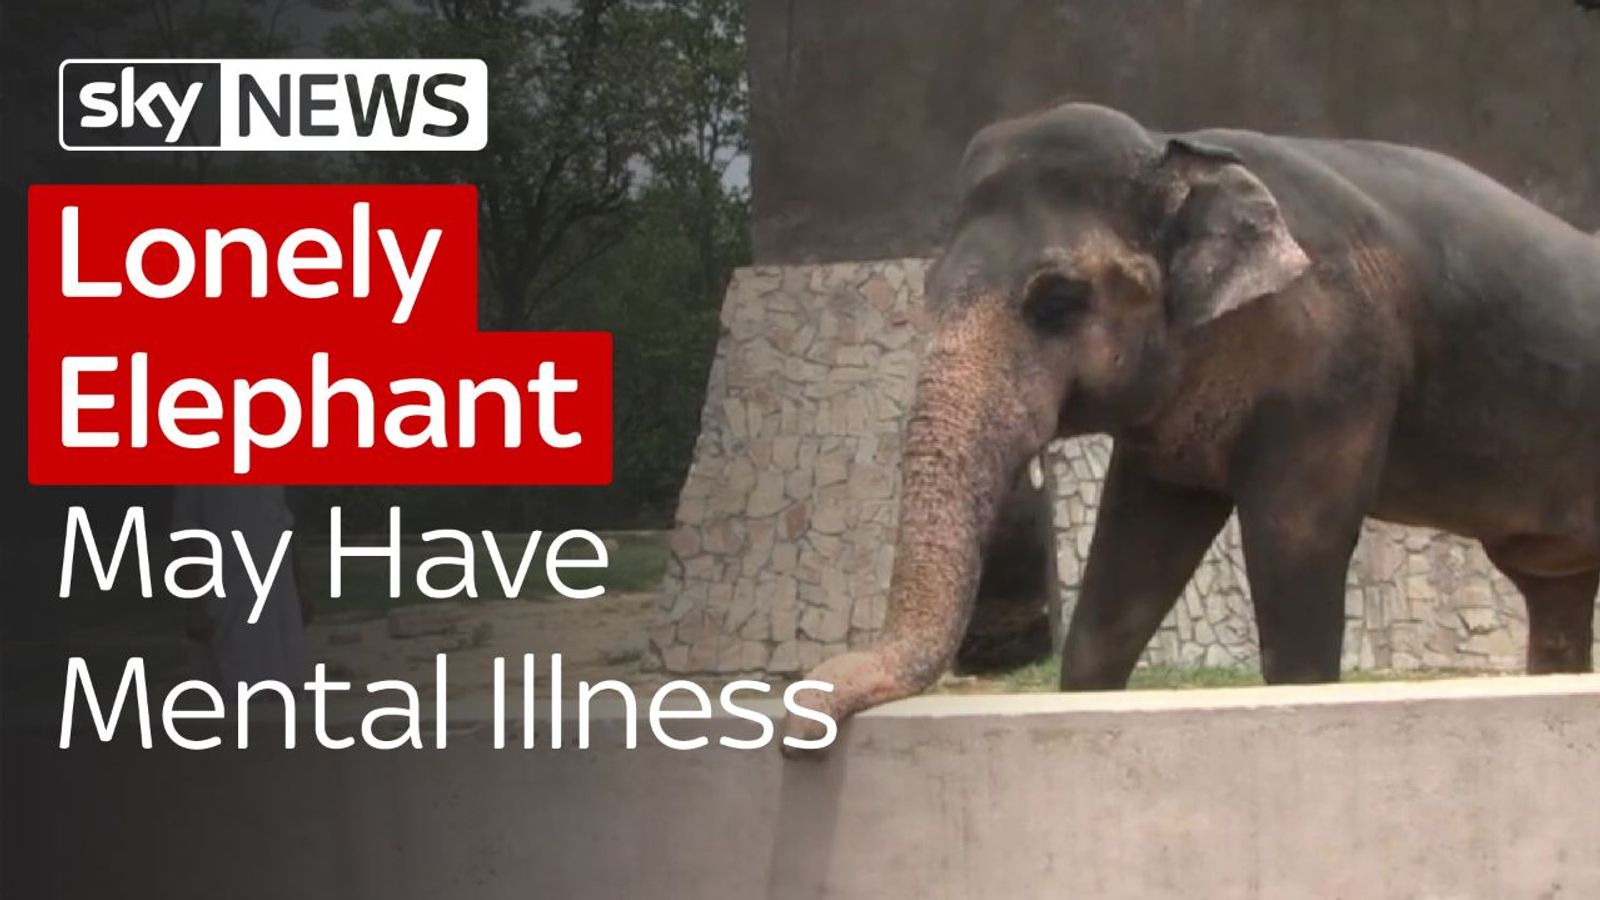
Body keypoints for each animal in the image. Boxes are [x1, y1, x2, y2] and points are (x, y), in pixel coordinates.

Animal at [782, 102, 1600, 752]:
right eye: (927, 287)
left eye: (1057, 301)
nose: (795, 723)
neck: (1175, 148)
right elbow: (1129, 559)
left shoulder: (1335, 358)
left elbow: (1295, 546)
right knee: (1556, 591)